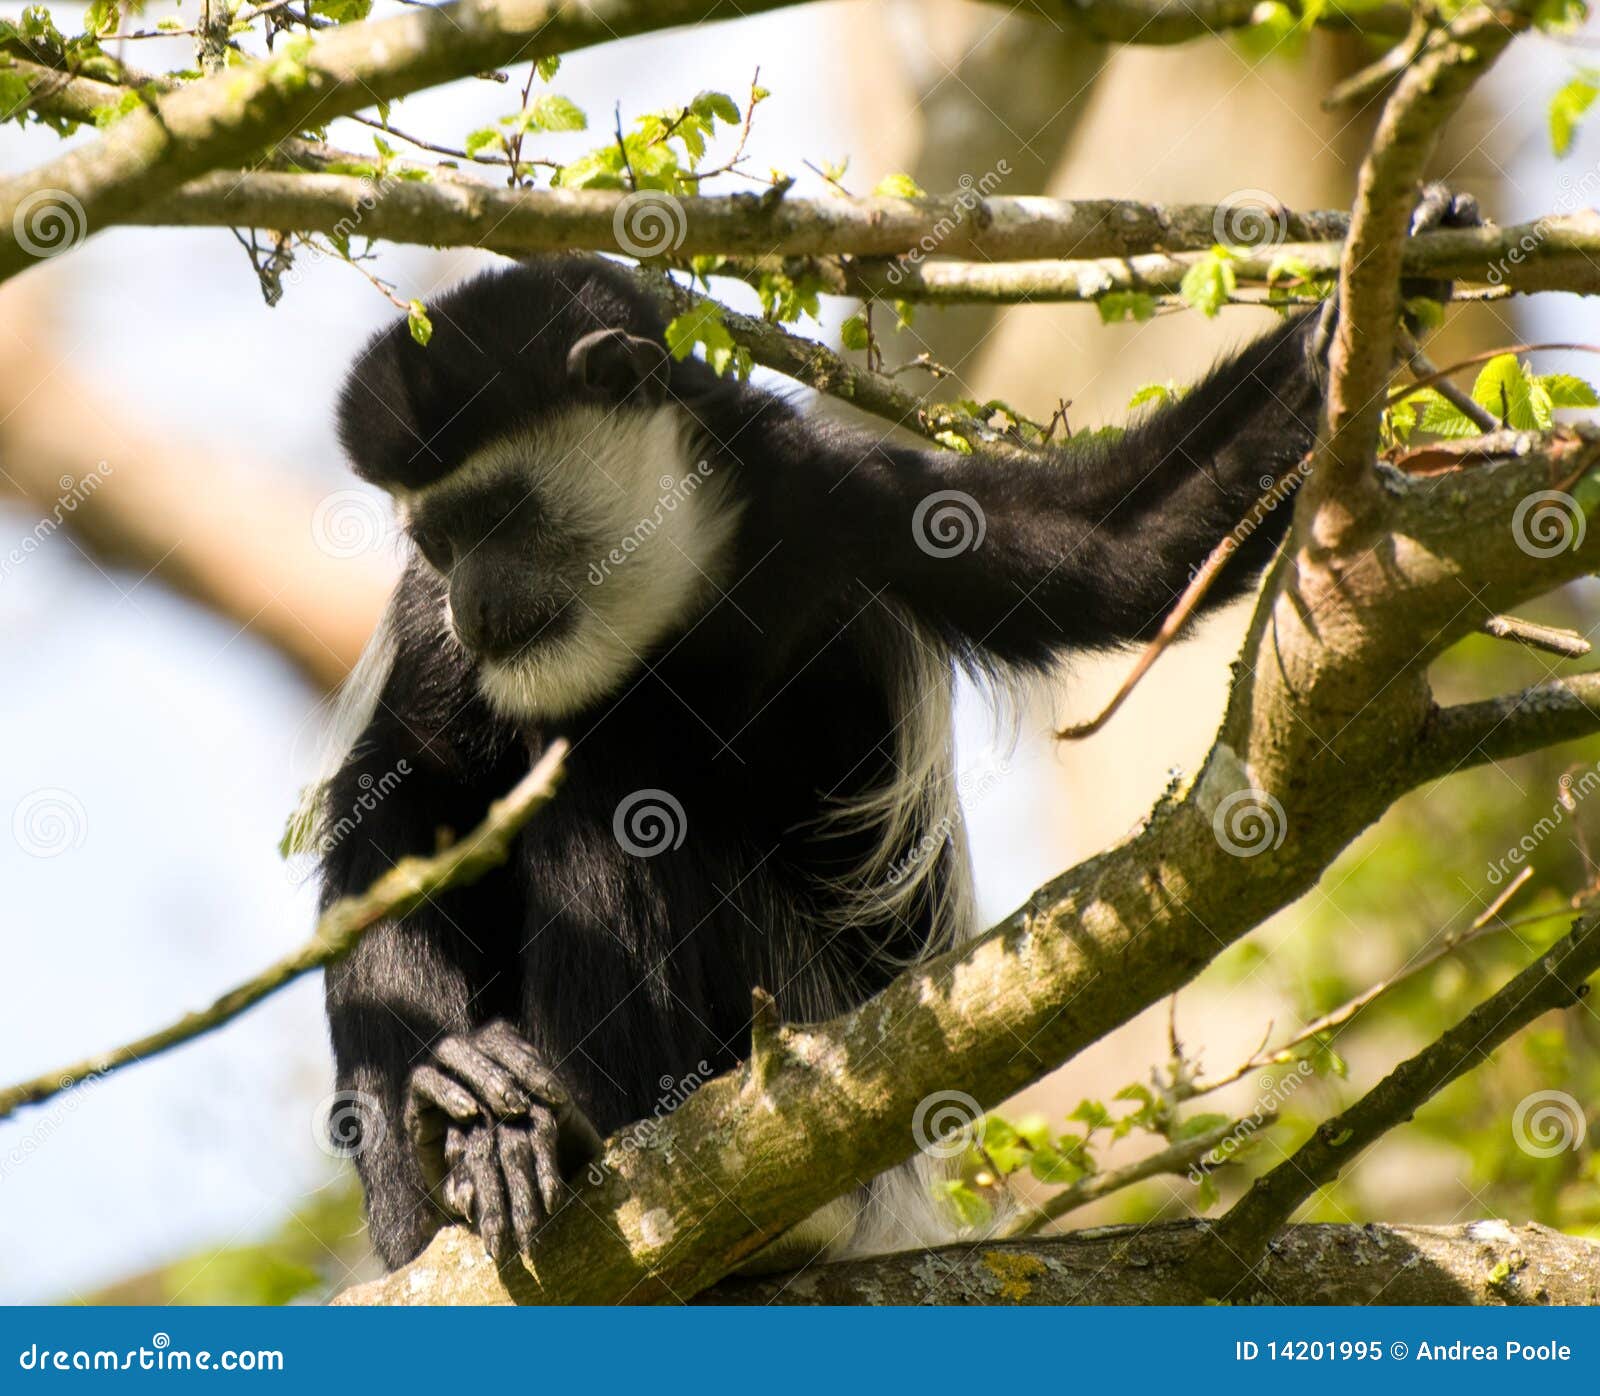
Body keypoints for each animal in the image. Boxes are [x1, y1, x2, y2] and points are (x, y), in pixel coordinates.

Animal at [314, 200, 1471, 1269]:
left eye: (497, 514)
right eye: (435, 540)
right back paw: (444, 1149)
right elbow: (402, 794)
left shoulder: (830, 491)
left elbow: (1116, 550)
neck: (658, 583)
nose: (472, 603)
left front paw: (1369, 297)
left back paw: (578, 1126)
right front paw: (451, 1097)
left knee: (612, 805)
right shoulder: (431, 631)